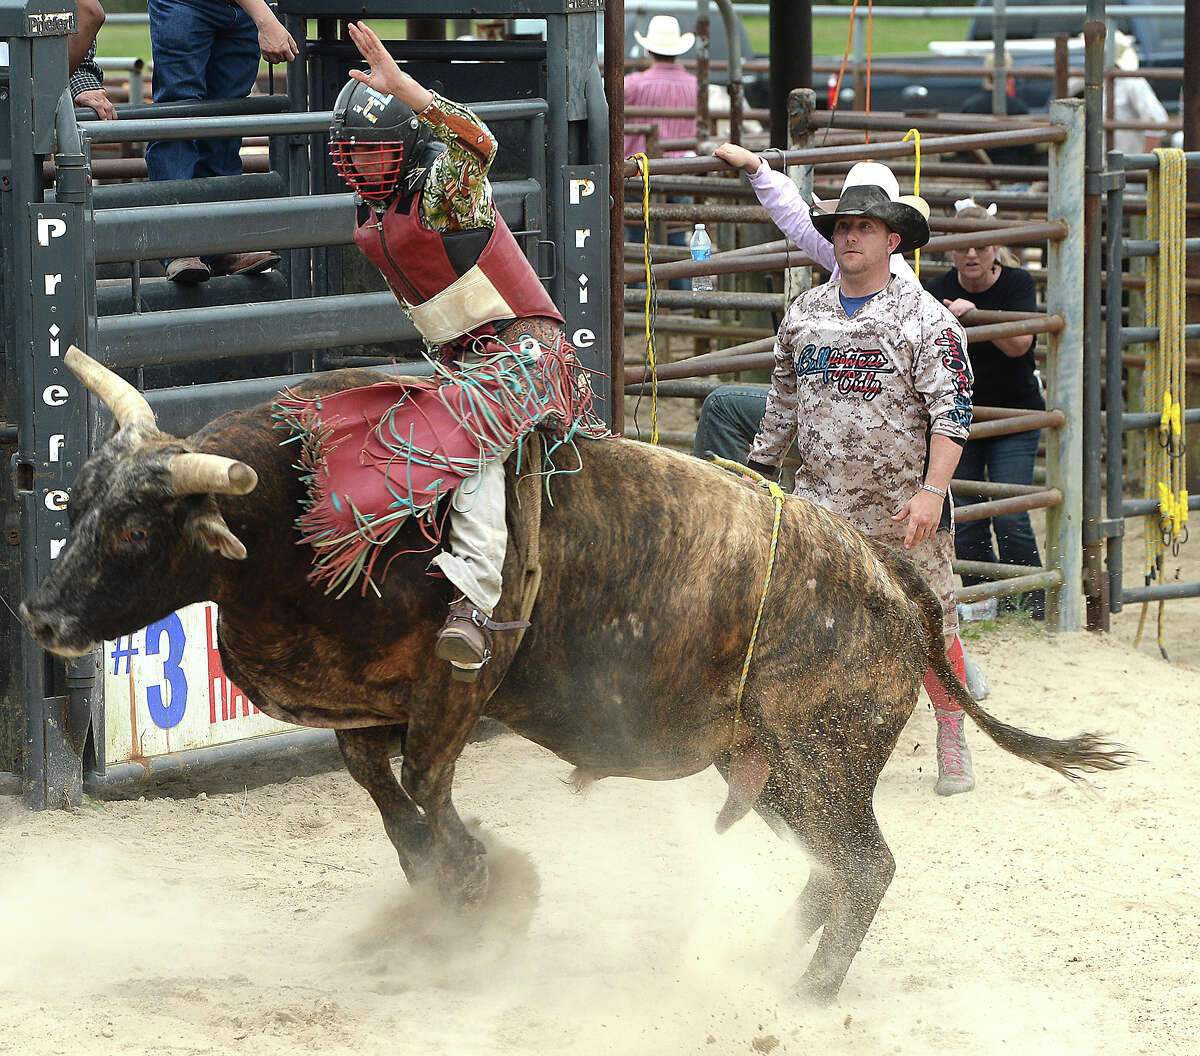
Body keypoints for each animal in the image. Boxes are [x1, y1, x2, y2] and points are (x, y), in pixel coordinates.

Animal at [20, 348, 1129, 1003]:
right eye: (78, 501)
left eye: (134, 530)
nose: (41, 614)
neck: (307, 516)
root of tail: (894, 578)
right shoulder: (363, 707)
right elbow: (389, 798)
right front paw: (440, 891)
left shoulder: (457, 688)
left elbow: (426, 789)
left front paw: (478, 891)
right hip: (772, 768)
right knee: (831, 868)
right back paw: (772, 959)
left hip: (822, 756)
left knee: (864, 868)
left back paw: (804, 991)